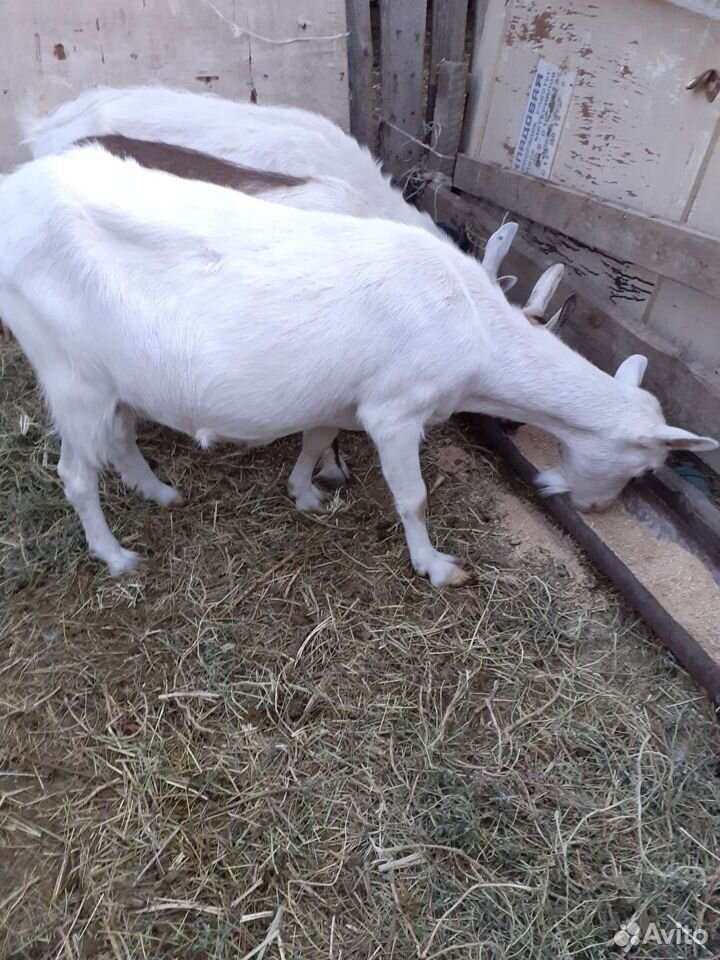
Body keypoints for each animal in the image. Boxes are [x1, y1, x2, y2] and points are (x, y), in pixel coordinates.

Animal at [1, 146, 715, 584]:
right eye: (645, 468)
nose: (596, 511)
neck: (473, 325)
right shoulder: (395, 408)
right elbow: (414, 496)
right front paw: (436, 566)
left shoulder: (344, 398)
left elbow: (316, 439)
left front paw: (305, 492)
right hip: (68, 371)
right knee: (74, 472)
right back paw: (116, 555)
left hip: (114, 374)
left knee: (119, 436)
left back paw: (159, 492)